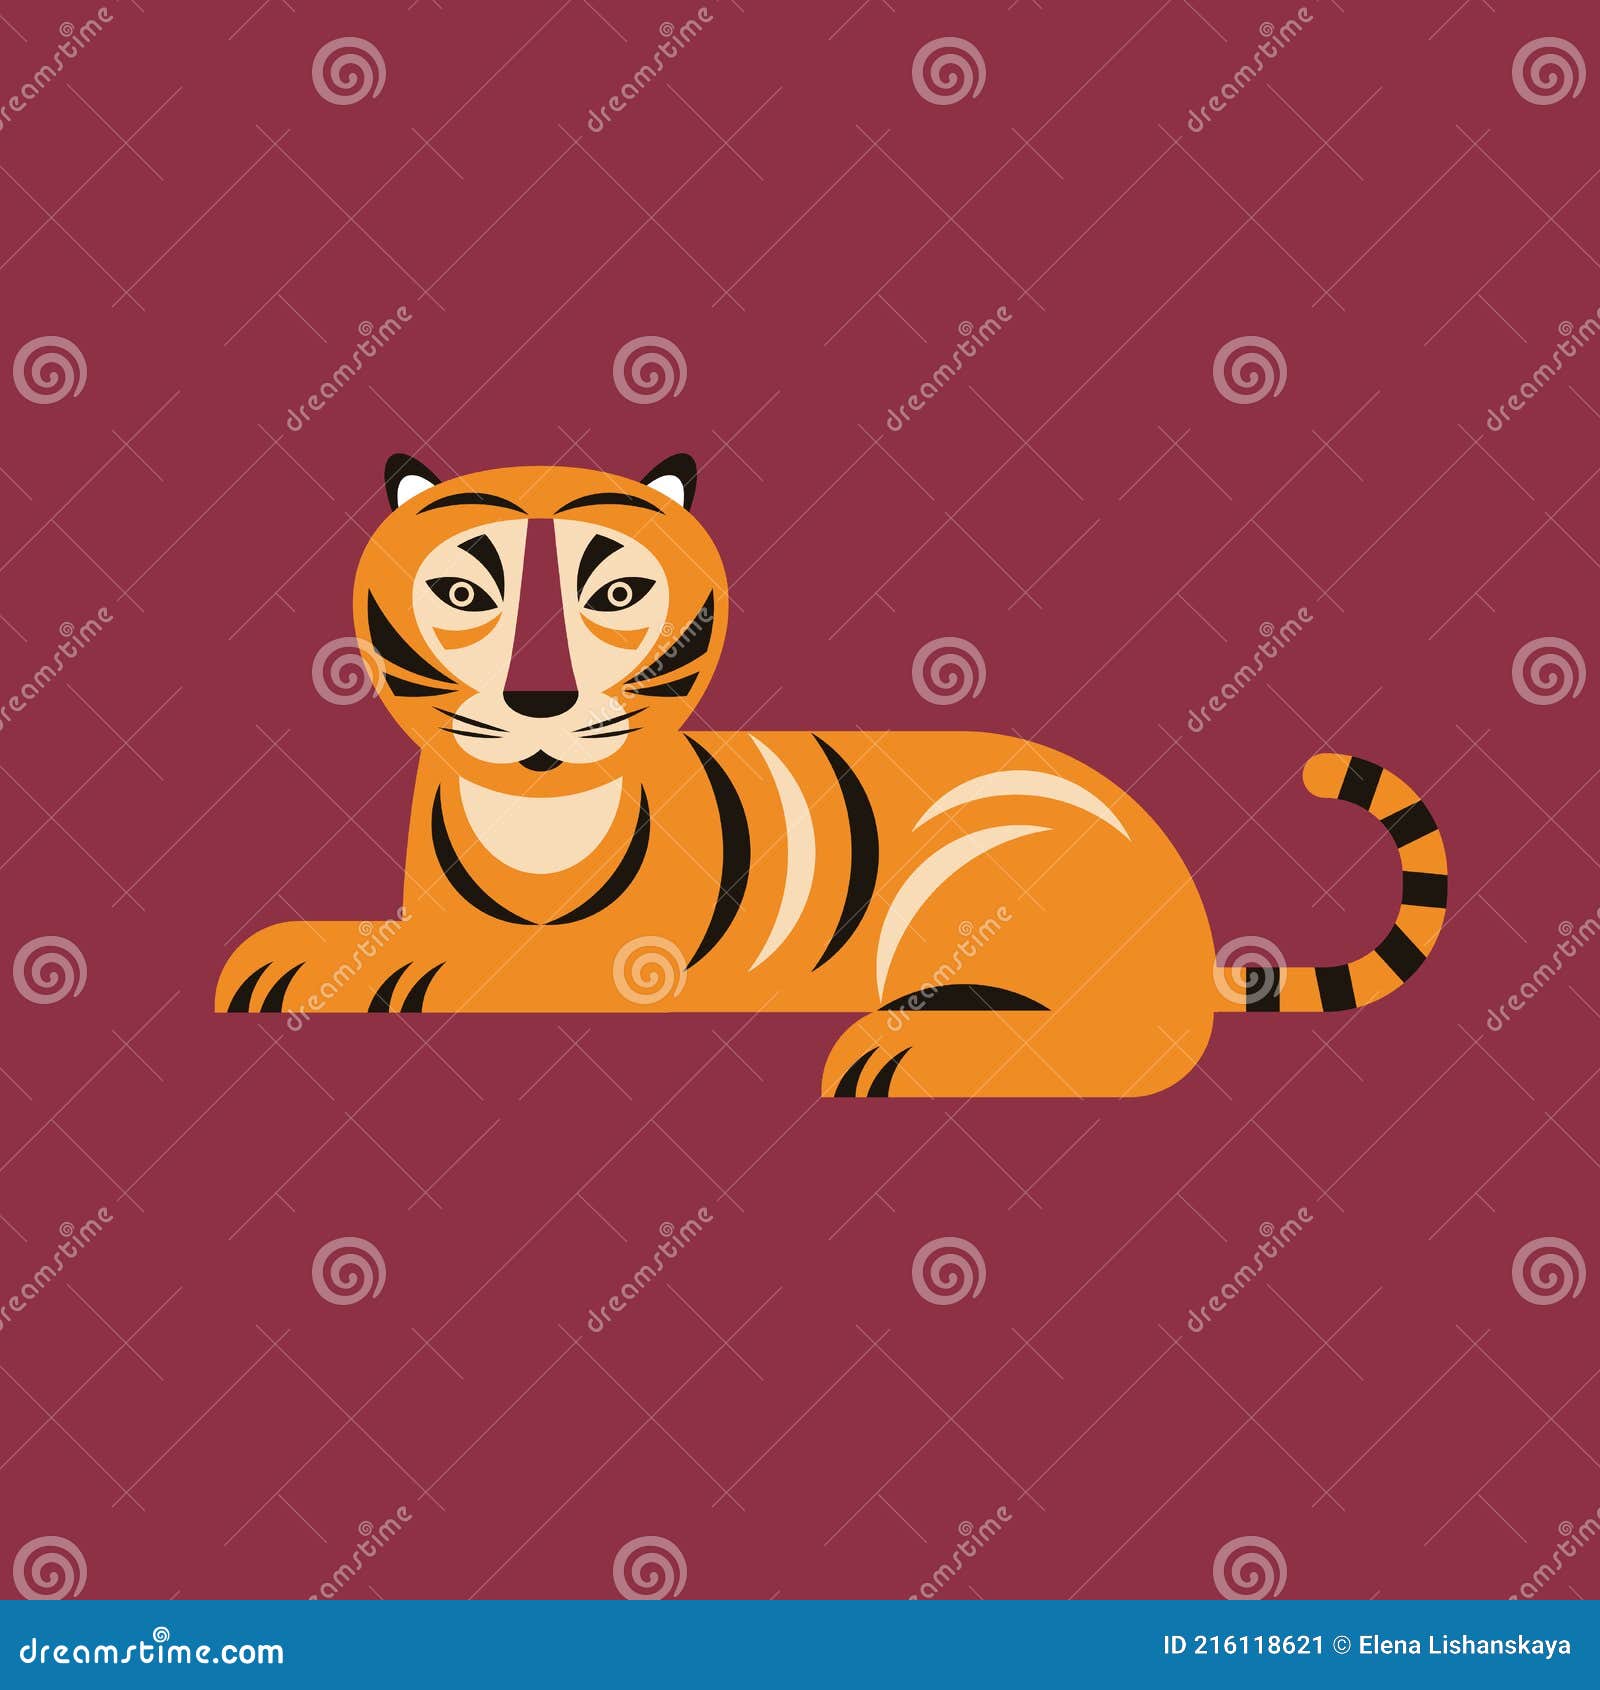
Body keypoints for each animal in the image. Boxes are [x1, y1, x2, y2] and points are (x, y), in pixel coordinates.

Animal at [215, 451, 1448, 1098]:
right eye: (466, 593)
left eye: (615, 593)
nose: (540, 702)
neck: (534, 809)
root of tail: (1193, 936)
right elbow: (365, 939)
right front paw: (280, 958)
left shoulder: (625, 960)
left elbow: (474, 965)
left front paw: (399, 974)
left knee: (1127, 1050)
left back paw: (891, 1047)